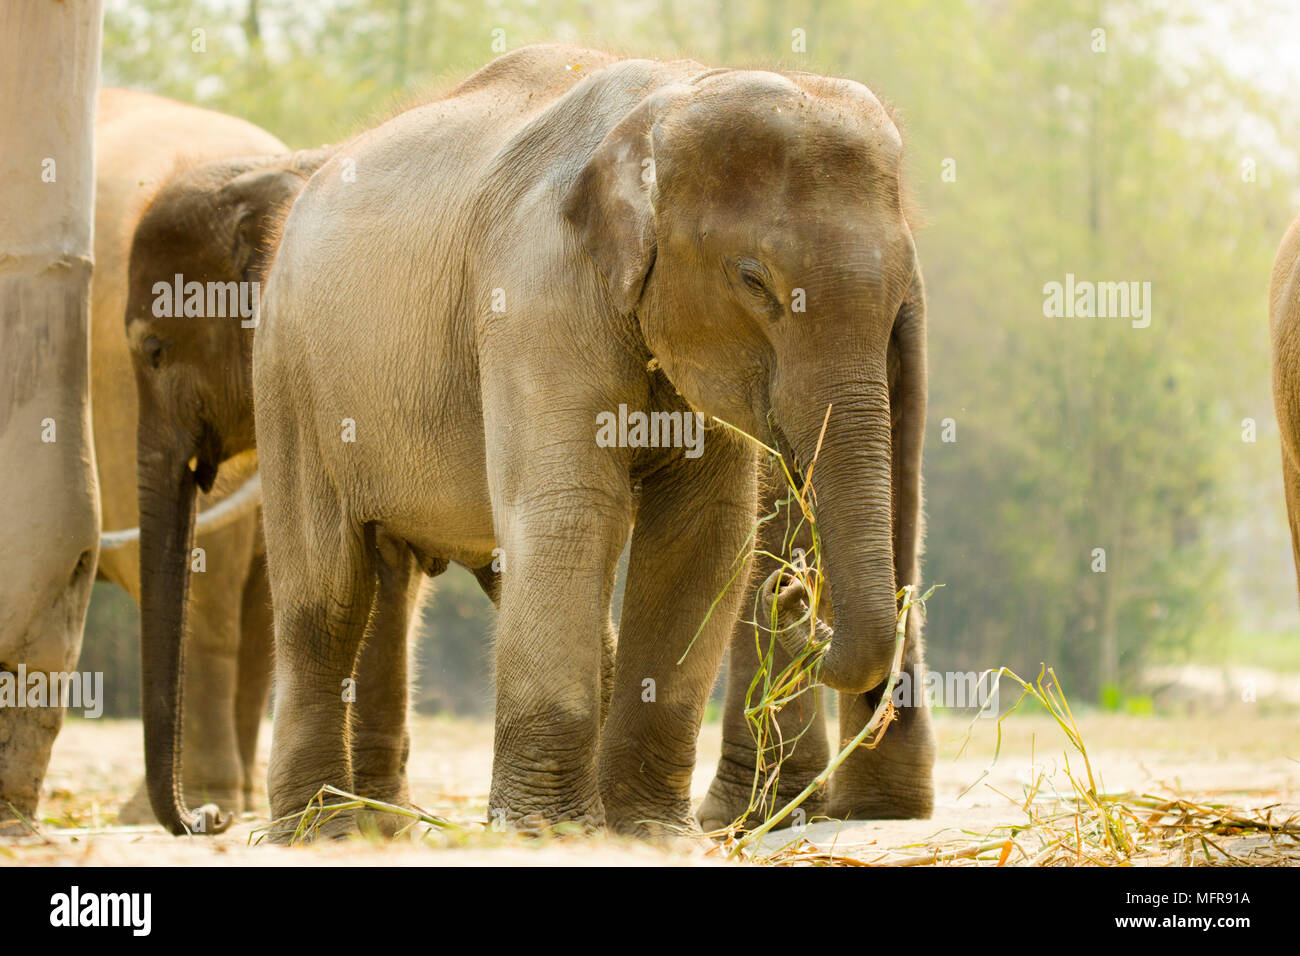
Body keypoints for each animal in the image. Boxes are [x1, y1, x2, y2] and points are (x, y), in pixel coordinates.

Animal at [251, 42, 934, 839]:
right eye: (754, 281)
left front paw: (651, 832)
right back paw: (319, 829)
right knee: (326, 593)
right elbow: (574, 508)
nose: (795, 594)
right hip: (290, 375)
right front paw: (545, 832)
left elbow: (703, 534)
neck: (673, 92)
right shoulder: (534, 291)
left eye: (900, 292)